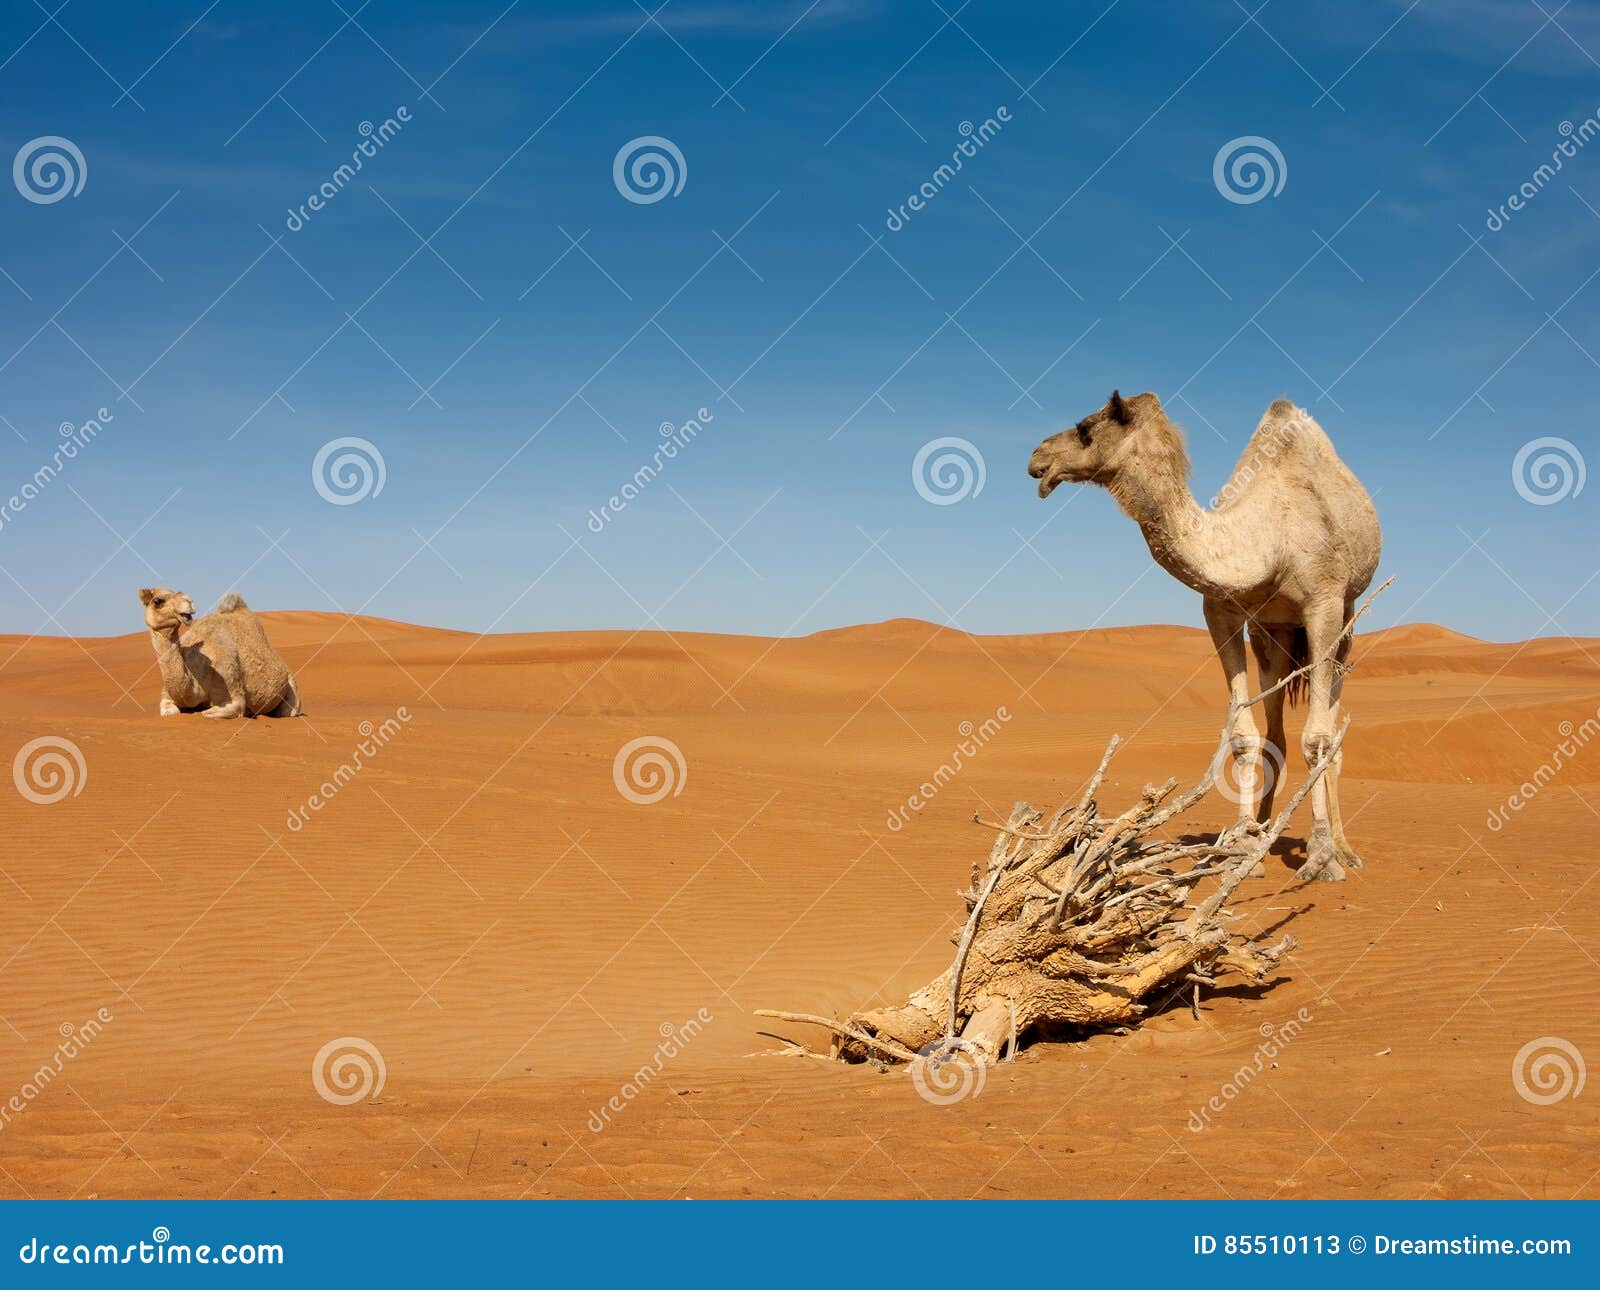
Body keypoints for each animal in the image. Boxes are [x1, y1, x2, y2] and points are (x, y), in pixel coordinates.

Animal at [139, 588, 303, 720]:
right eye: (157, 601)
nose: (189, 601)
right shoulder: (166, 697)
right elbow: (169, 711)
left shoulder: (232, 692)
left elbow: (209, 712)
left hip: (291, 687)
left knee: (288, 711)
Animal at [1027, 391, 1381, 881]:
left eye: (1085, 428)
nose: (1038, 456)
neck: (1268, 539)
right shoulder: (1221, 610)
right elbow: (1243, 737)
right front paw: (1243, 846)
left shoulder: (1324, 603)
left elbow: (1319, 739)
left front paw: (1322, 857)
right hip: (1271, 633)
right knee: (1275, 731)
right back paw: (1266, 829)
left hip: (1345, 622)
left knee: (1331, 729)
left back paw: (1343, 848)